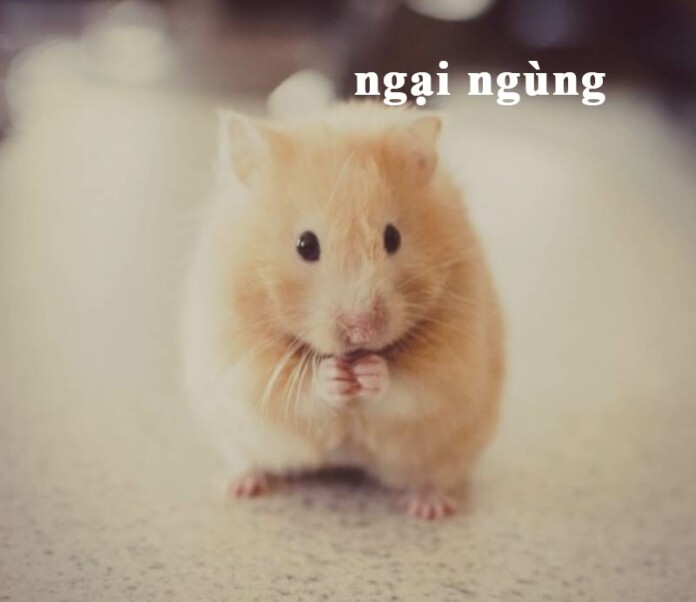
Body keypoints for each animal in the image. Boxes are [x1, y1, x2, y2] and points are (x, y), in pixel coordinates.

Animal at [181, 103, 504, 519]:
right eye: (305, 244)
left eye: (393, 237)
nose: (361, 331)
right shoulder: (242, 360)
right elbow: (295, 389)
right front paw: (334, 376)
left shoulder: (453, 362)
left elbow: (411, 386)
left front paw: (369, 372)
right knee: (247, 459)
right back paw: (237, 485)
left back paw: (428, 507)